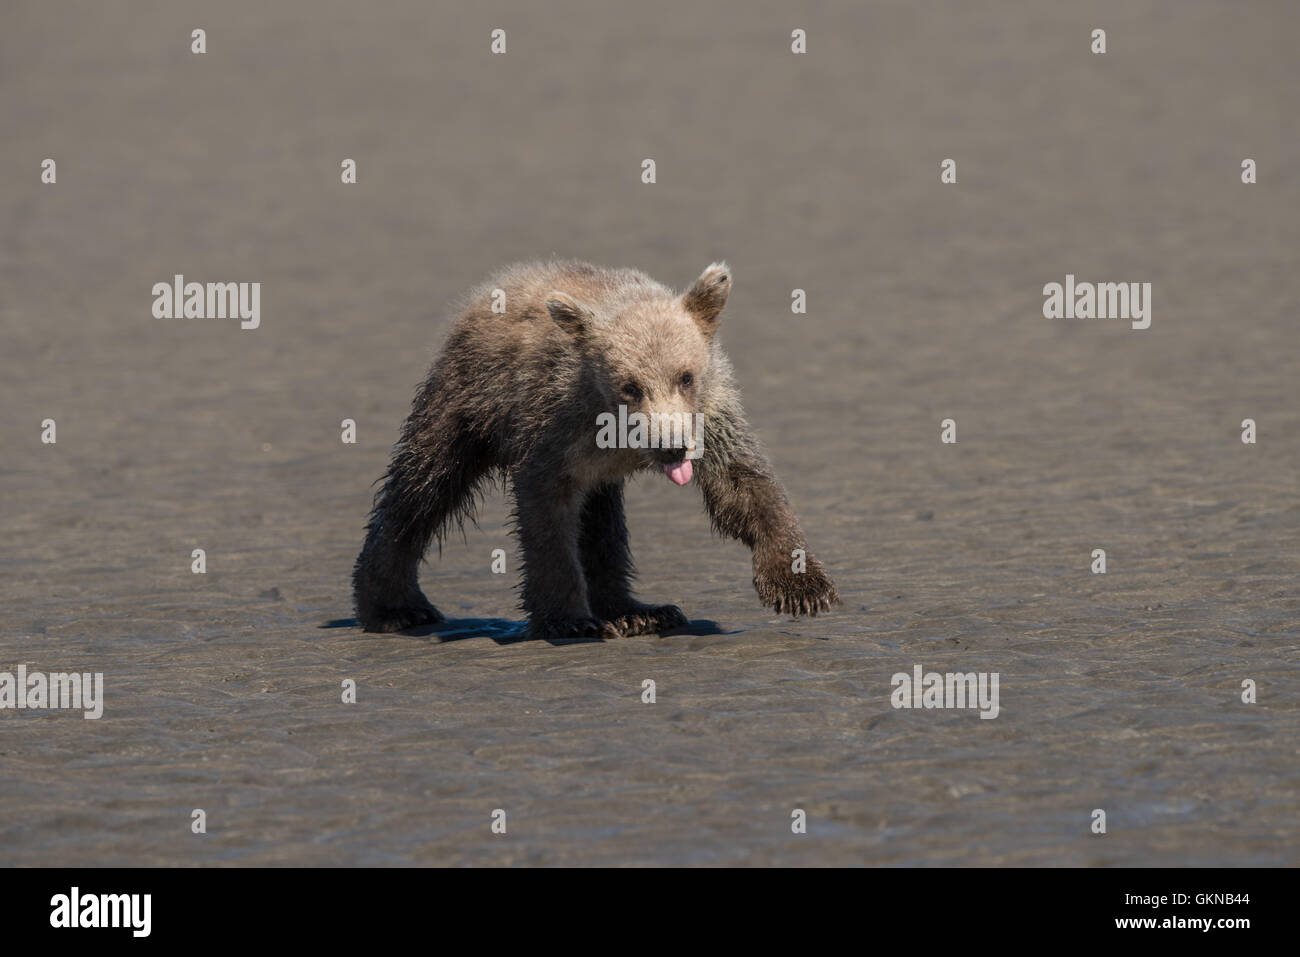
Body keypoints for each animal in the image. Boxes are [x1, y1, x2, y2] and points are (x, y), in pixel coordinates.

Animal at [352, 260, 839, 639]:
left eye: (685, 376)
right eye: (630, 385)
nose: (673, 448)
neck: (619, 434)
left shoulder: (710, 416)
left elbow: (743, 486)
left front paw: (802, 588)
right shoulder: (554, 424)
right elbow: (547, 515)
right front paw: (568, 619)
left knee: (602, 522)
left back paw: (639, 612)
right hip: (466, 397)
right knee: (424, 485)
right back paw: (395, 606)